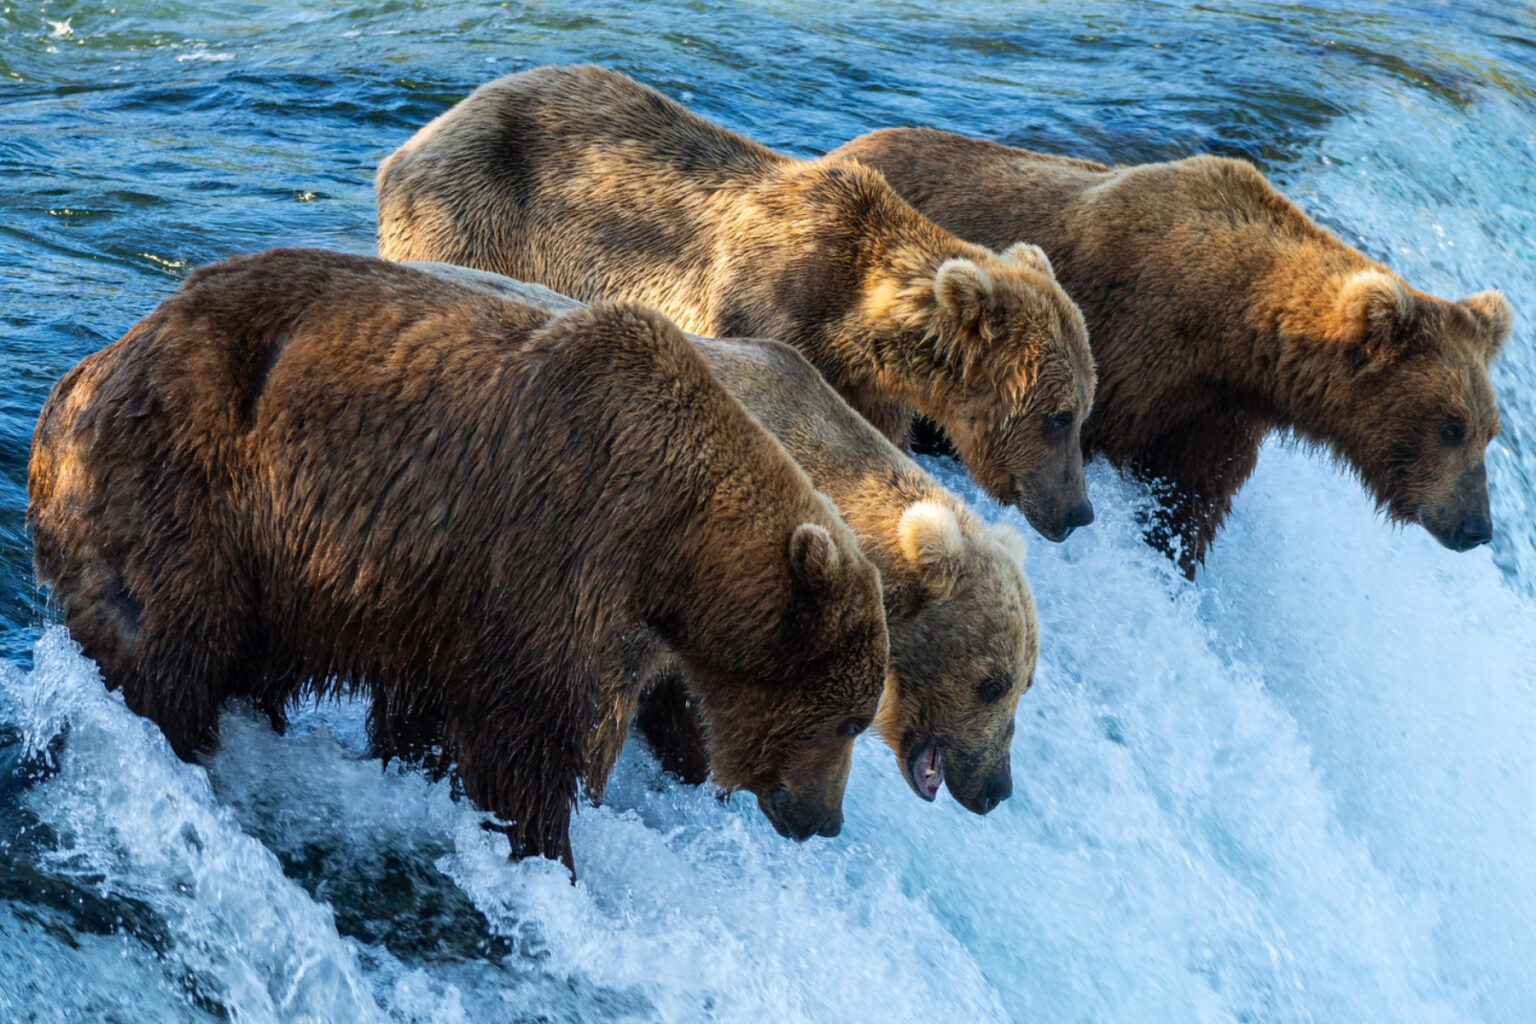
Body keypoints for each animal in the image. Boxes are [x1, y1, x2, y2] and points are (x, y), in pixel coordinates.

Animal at [27, 249, 889, 870]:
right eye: (848, 718)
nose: (827, 820)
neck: (671, 545)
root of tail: (77, 380)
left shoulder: (442, 595)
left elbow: (431, 713)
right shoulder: (557, 544)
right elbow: (528, 736)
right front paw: (546, 850)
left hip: (271, 565)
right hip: (184, 486)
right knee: (167, 647)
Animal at [375, 64, 1099, 544]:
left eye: (1083, 412)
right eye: (1058, 416)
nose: (1078, 513)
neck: (856, 321)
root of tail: (412, 141)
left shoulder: (864, 386)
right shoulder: (762, 309)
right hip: (475, 215)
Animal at [829, 127, 1512, 575]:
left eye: (1490, 431)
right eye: (1450, 427)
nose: (1477, 527)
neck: (1231, 334)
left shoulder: (1216, 415)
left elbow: (1191, 506)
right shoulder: (1129, 346)